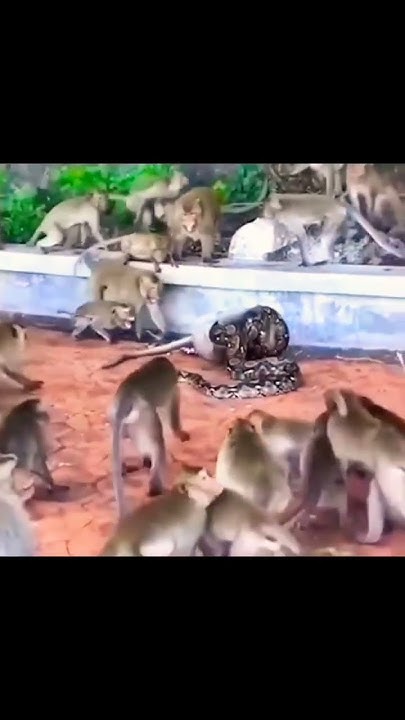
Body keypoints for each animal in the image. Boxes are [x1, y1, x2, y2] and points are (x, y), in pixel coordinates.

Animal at [110, 357, 190, 517]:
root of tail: (126, 395)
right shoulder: (174, 388)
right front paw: (179, 432)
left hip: (128, 420)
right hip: (145, 414)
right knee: (158, 444)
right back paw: (156, 486)